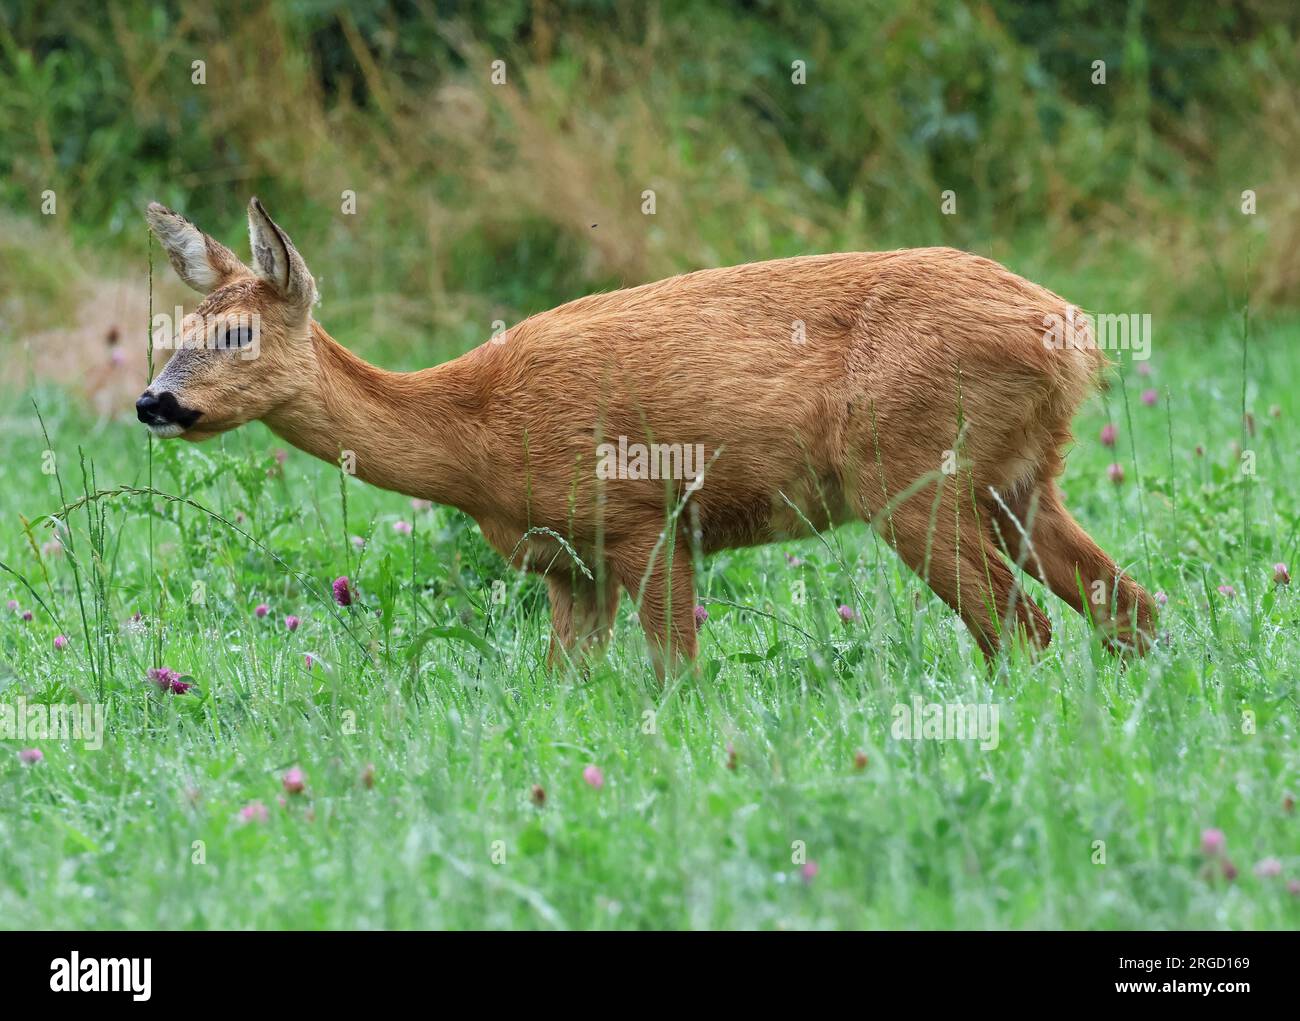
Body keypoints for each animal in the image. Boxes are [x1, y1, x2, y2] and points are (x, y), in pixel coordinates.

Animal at [139, 198, 1157, 676]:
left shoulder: (642, 516)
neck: (478, 438)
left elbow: (677, 672)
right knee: (1128, 609)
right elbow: (561, 684)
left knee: (1022, 628)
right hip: (1021, 474)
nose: (153, 403)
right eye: (174, 331)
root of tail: (1070, 330)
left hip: (908, 470)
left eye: (236, 335)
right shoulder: (566, 563)